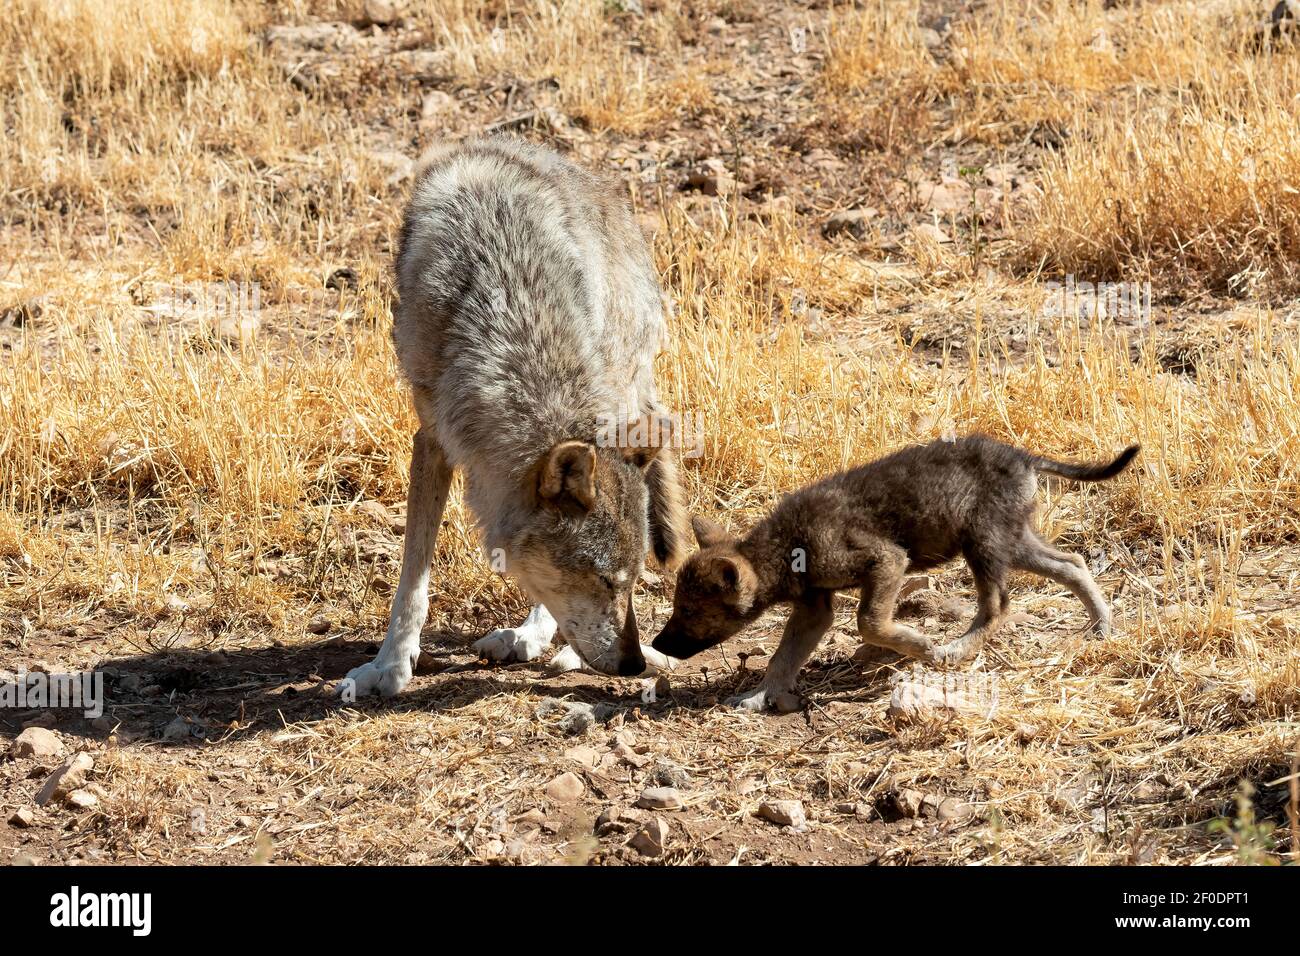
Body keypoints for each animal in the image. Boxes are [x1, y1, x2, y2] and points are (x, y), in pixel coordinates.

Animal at [343, 137, 688, 697]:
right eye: (602, 580)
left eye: (633, 581)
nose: (634, 662)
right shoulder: (432, 436)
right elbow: (413, 576)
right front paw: (389, 664)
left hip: (622, 381)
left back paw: (540, 640)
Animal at [652, 435, 1138, 712]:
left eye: (689, 612)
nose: (657, 645)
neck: (785, 546)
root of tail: (1024, 456)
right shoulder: (814, 609)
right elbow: (781, 660)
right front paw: (757, 696)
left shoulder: (887, 560)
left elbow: (870, 623)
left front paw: (919, 646)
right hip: (1010, 542)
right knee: (1072, 564)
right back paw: (1102, 625)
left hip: (984, 543)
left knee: (998, 603)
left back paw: (953, 651)